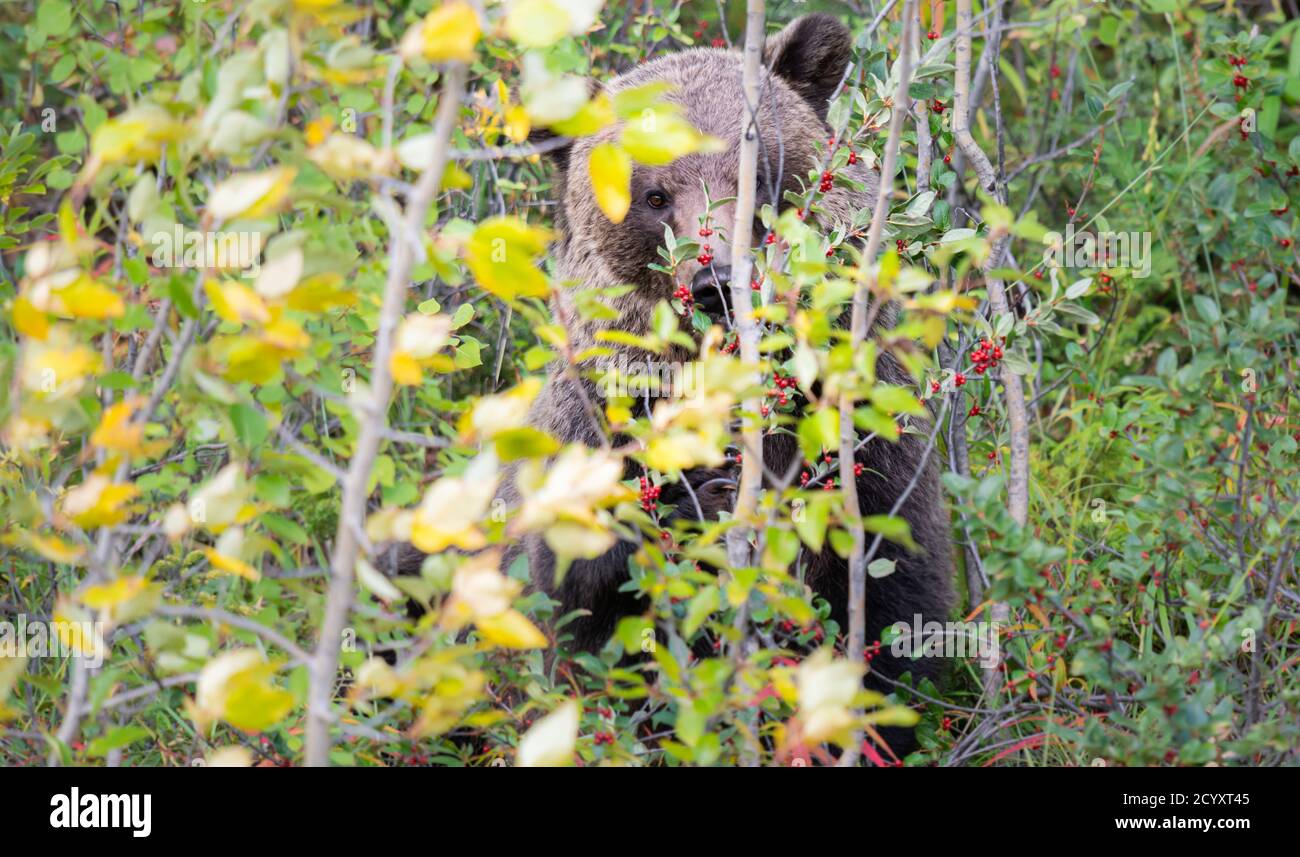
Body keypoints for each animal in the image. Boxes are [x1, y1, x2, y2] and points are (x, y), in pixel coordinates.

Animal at [391, 12, 955, 758]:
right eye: (655, 194)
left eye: (759, 177)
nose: (716, 281)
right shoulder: (593, 429)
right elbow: (584, 612)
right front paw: (695, 501)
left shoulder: (868, 446)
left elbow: (896, 604)